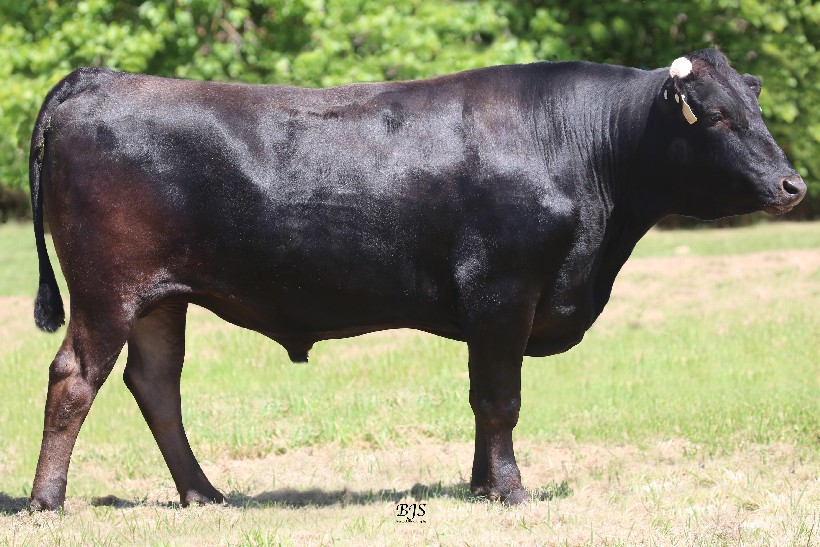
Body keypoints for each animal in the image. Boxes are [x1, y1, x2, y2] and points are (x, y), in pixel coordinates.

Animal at [27, 48, 805, 510]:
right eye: (718, 117)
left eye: (756, 109)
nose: (792, 184)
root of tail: (100, 77)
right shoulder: (504, 291)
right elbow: (501, 400)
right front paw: (512, 492)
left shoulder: (491, 311)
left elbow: (481, 400)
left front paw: (480, 484)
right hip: (106, 290)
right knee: (75, 377)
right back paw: (46, 501)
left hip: (162, 298)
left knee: (156, 384)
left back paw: (205, 494)